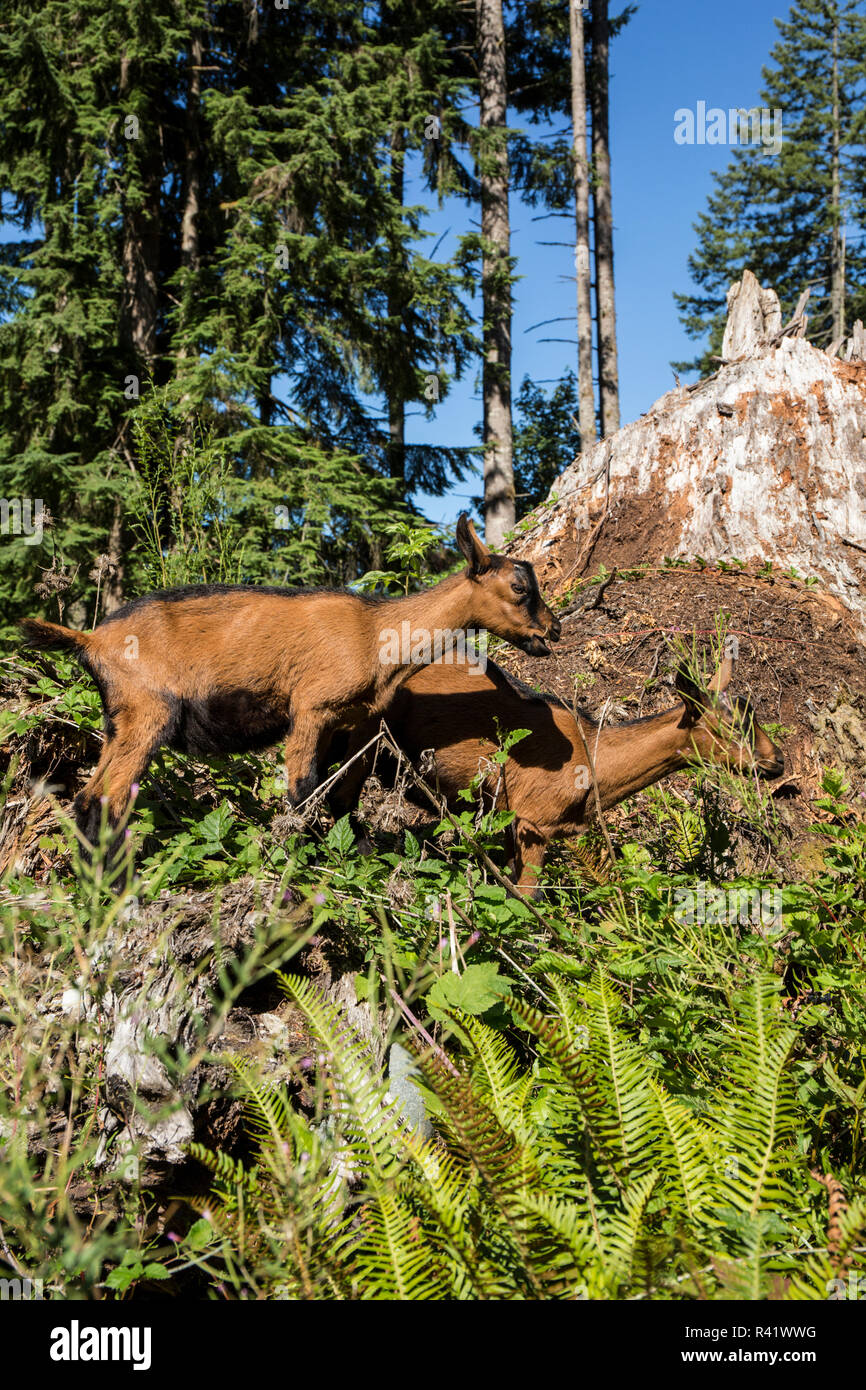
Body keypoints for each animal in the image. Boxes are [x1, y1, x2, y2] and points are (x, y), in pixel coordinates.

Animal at [19, 515, 561, 851]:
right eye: (519, 588)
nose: (551, 631)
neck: (376, 632)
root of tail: (92, 638)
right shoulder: (311, 710)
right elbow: (302, 790)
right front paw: (308, 854)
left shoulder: (358, 721)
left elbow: (341, 794)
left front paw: (358, 849)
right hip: (149, 712)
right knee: (109, 798)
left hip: (121, 719)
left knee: (89, 796)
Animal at [330, 653, 785, 893]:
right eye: (733, 726)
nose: (777, 761)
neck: (593, 761)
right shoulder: (534, 822)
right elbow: (524, 897)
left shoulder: (506, 821)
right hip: (367, 733)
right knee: (340, 794)